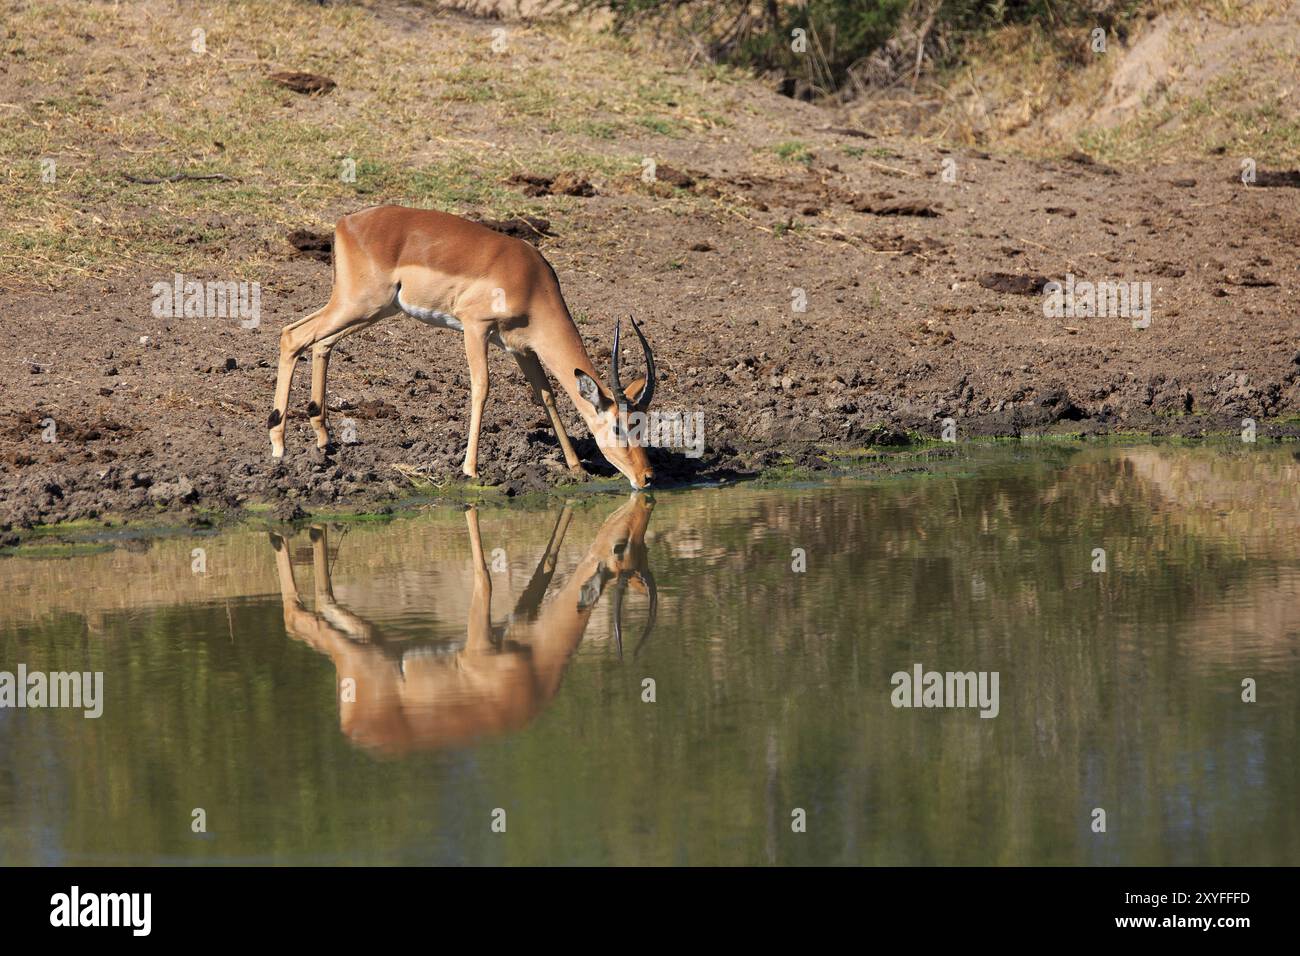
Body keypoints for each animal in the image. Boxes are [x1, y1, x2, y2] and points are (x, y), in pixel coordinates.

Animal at [268, 205, 658, 488]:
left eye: (641, 425)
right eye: (619, 428)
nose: (646, 477)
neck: (530, 281)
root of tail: (346, 222)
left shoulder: (521, 348)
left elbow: (546, 395)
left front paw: (576, 467)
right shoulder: (475, 327)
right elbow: (482, 387)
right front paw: (471, 469)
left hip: (370, 310)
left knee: (319, 342)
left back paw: (322, 439)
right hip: (358, 305)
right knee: (292, 336)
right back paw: (278, 444)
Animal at [268, 495, 657, 755]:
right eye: (620, 547)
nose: (641, 498)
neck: (534, 666)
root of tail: (354, 729)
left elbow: (545, 565)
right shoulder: (480, 643)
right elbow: (484, 580)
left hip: (369, 641)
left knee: (320, 608)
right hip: (366, 655)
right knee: (300, 617)